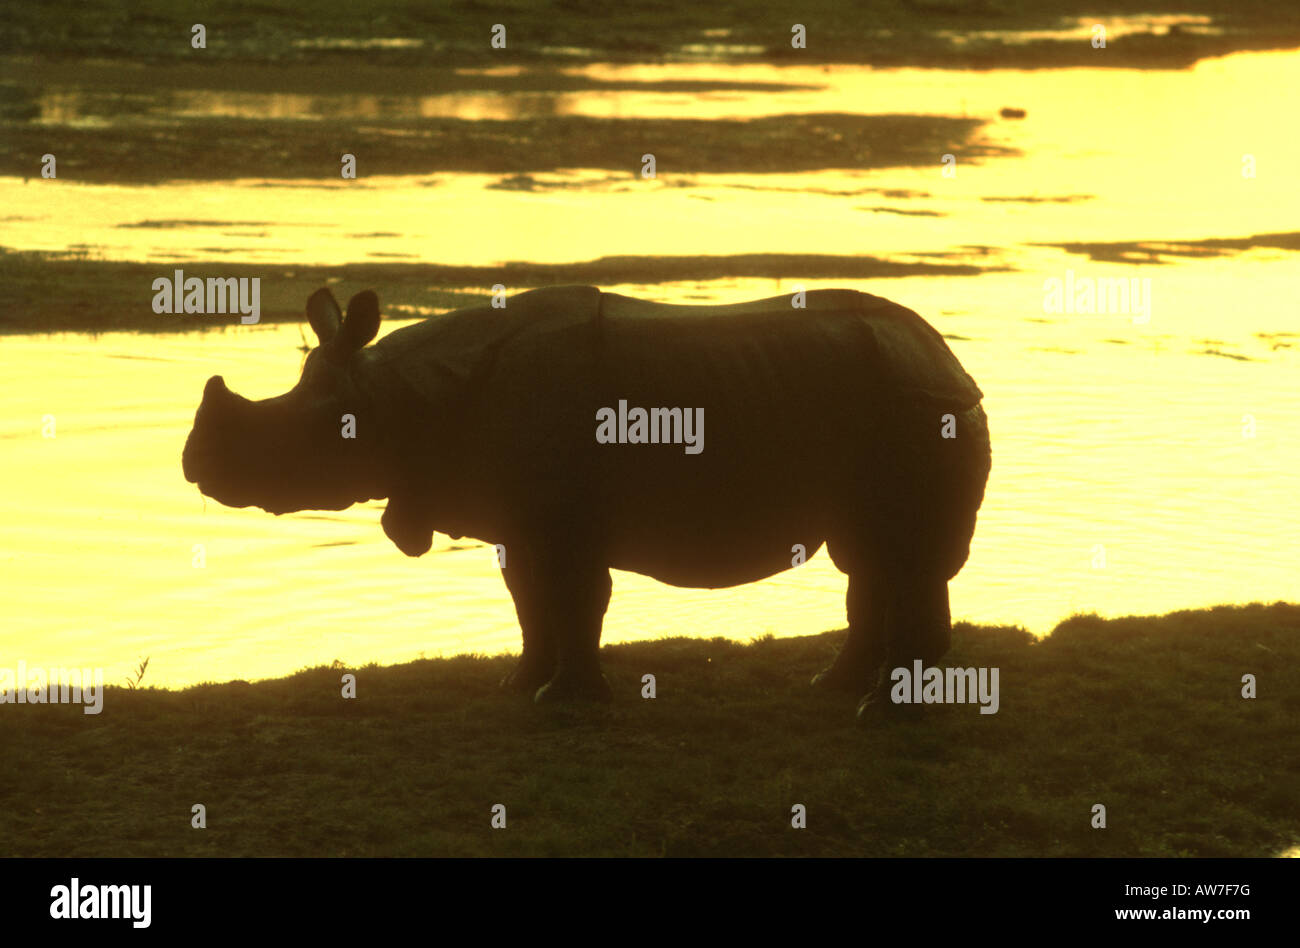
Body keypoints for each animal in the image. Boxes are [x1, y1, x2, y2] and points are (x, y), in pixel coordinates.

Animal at [182, 285, 991, 718]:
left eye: (306, 433)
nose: (195, 465)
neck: (400, 396)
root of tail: (953, 363)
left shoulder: (563, 520)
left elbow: (576, 599)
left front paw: (565, 700)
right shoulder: (518, 518)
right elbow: (529, 600)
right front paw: (521, 684)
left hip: (915, 406)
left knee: (899, 558)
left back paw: (877, 712)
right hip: (896, 402)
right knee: (870, 561)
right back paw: (837, 687)